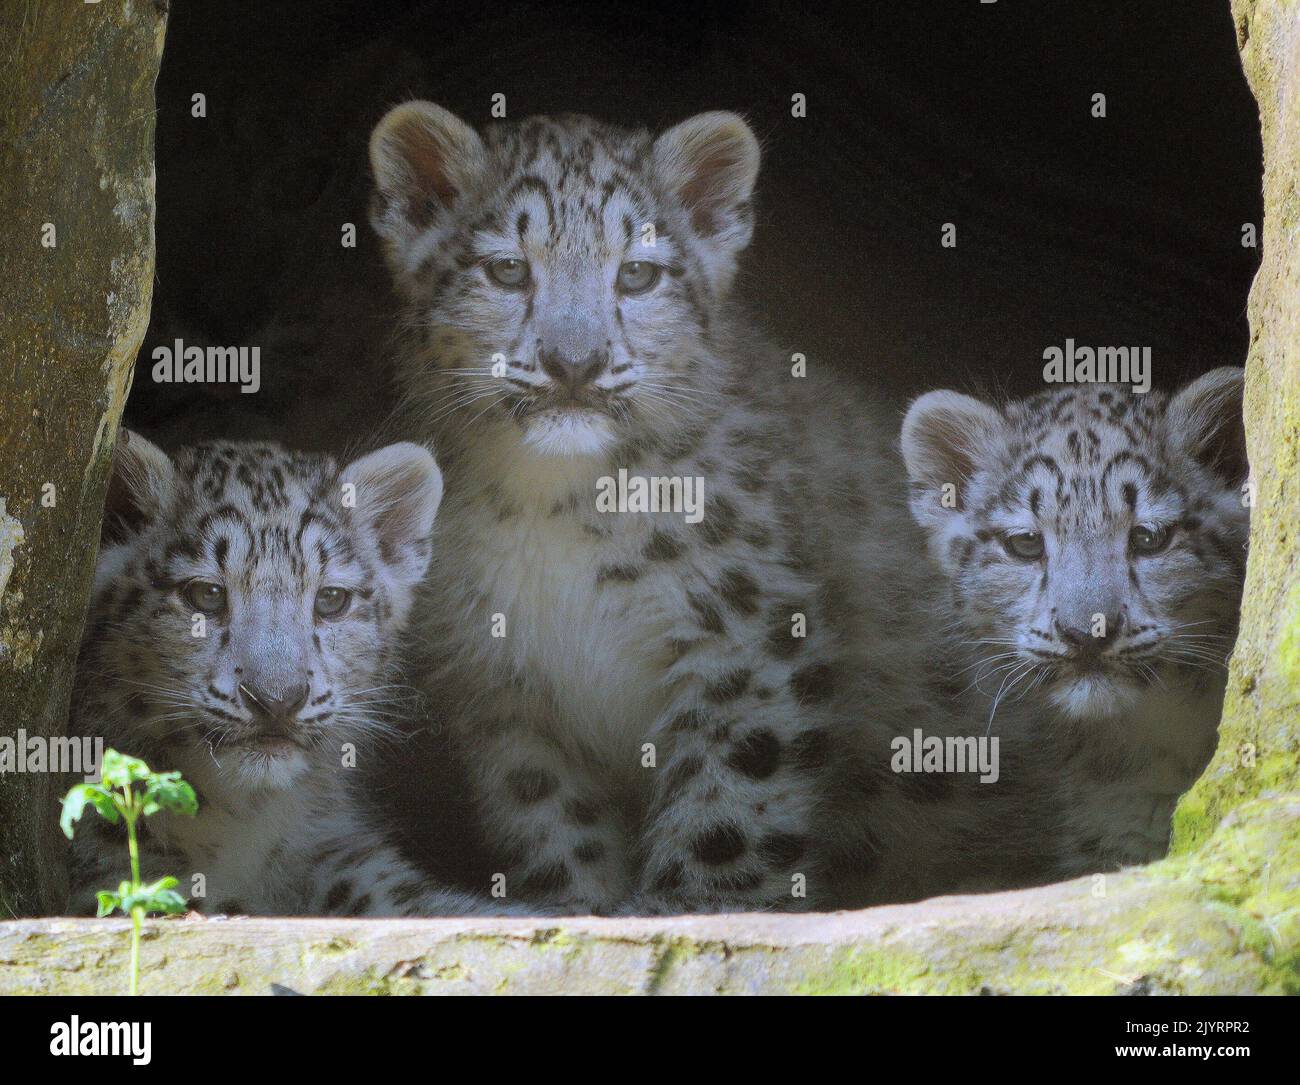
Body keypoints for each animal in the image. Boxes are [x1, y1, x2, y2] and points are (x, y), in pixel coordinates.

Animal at [67, 429, 522, 917]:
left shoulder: (335, 851)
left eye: (331, 599)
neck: (241, 819)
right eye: (206, 594)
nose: (277, 700)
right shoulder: (109, 871)